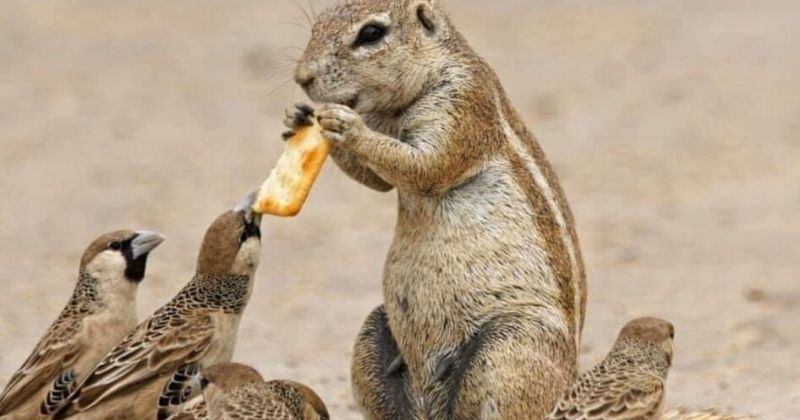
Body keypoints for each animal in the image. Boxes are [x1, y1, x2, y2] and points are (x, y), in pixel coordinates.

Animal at [284, 0, 586, 418]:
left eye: (371, 34)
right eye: (317, 26)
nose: (302, 77)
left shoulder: (463, 106)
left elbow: (427, 166)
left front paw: (347, 127)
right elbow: (378, 179)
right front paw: (297, 116)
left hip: (510, 349)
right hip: (371, 338)